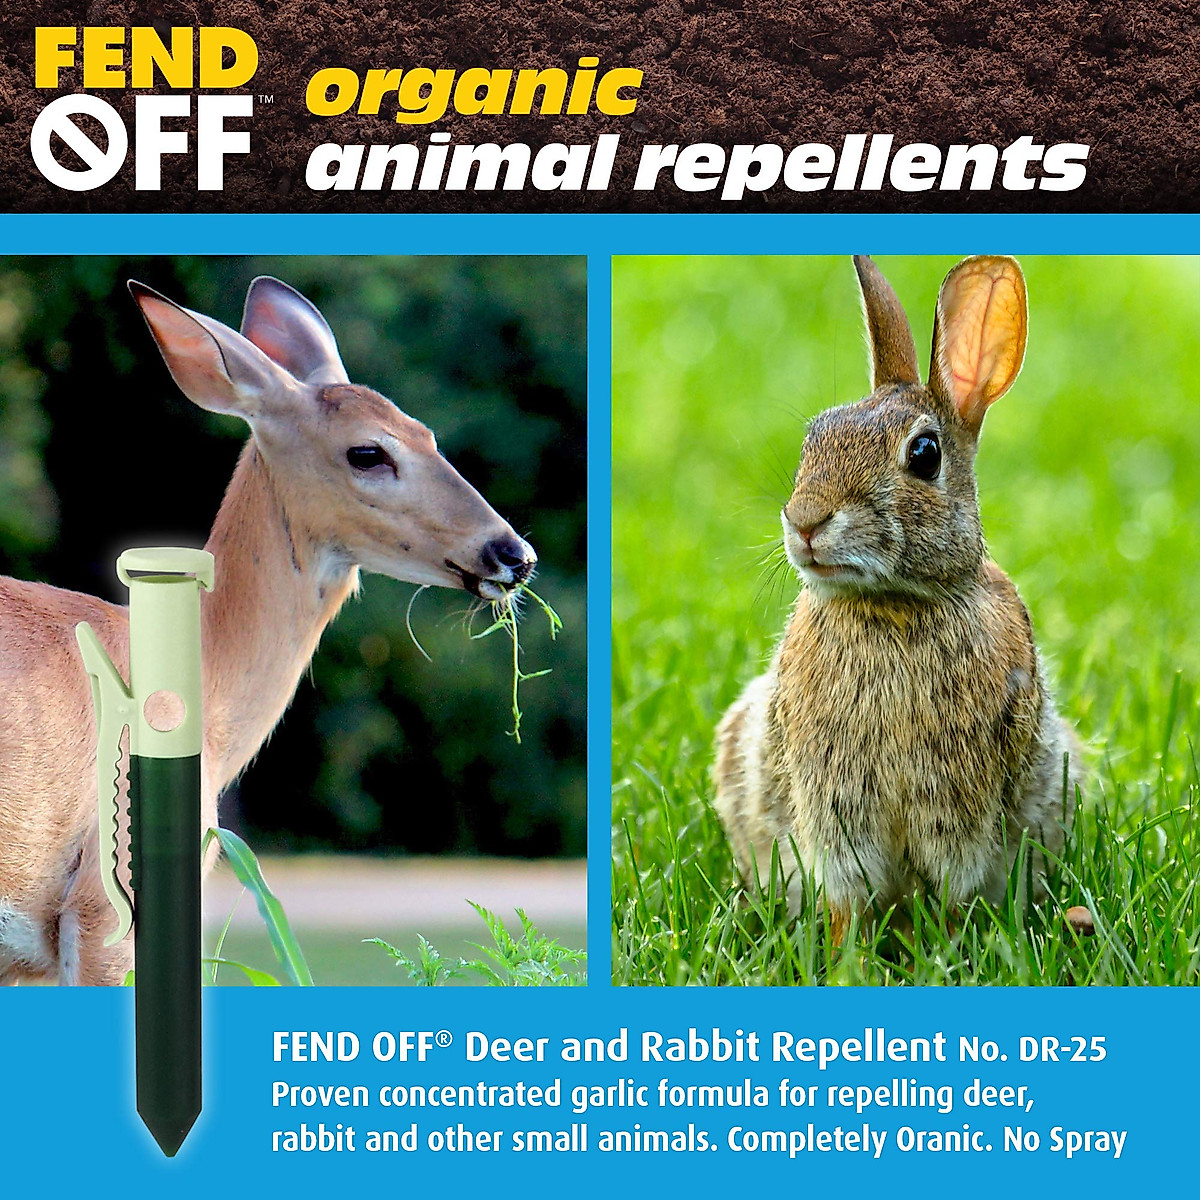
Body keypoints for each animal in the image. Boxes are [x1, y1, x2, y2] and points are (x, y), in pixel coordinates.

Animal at [713, 255, 1082, 943]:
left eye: (925, 454)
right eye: (813, 437)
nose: (805, 521)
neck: (892, 605)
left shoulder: (960, 815)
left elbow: (955, 893)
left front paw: (947, 948)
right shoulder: (833, 814)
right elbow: (846, 902)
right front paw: (847, 956)